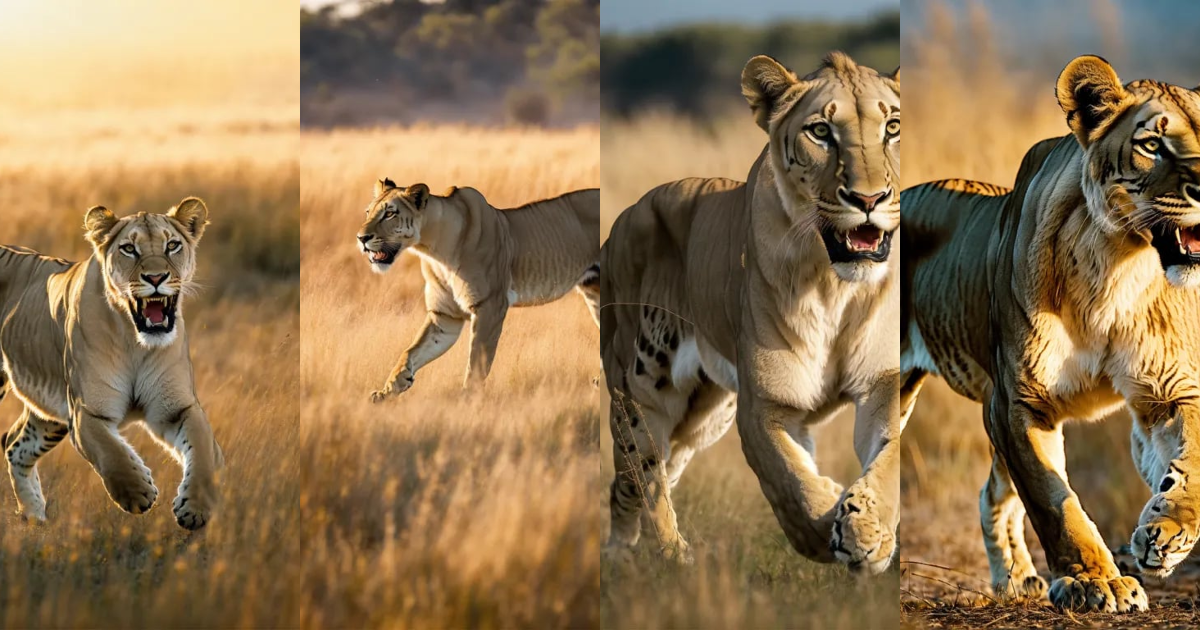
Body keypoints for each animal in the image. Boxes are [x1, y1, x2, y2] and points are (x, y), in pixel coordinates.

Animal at [0, 199, 224, 530]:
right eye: (129, 249)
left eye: (172, 245)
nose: (155, 278)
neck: (135, 341)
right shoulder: (86, 411)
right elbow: (111, 453)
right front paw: (139, 492)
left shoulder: (176, 408)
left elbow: (202, 449)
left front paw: (195, 507)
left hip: (49, 412)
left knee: (15, 445)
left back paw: (34, 519)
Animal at [357, 180, 600, 401]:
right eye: (368, 212)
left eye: (390, 214)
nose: (361, 238)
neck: (431, 249)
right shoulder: (445, 317)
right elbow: (411, 352)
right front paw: (387, 391)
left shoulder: (490, 306)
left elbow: (477, 359)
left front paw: (467, 400)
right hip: (594, 292)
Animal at [600, 52, 903, 574]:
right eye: (821, 132)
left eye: (893, 127)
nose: (869, 200)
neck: (832, 281)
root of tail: (621, 220)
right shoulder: (765, 403)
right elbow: (790, 482)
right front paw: (827, 524)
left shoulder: (881, 381)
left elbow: (887, 459)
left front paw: (868, 533)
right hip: (643, 389)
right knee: (643, 477)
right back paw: (666, 557)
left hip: (702, 415)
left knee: (647, 477)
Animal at [902, 55, 1200, 612]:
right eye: (1152, 144)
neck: (1117, 264)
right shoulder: (1019, 402)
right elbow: (1053, 500)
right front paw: (1096, 581)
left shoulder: (1168, 392)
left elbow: (1191, 460)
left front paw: (1166, 535)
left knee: (991, 494)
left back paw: (1017, 579)